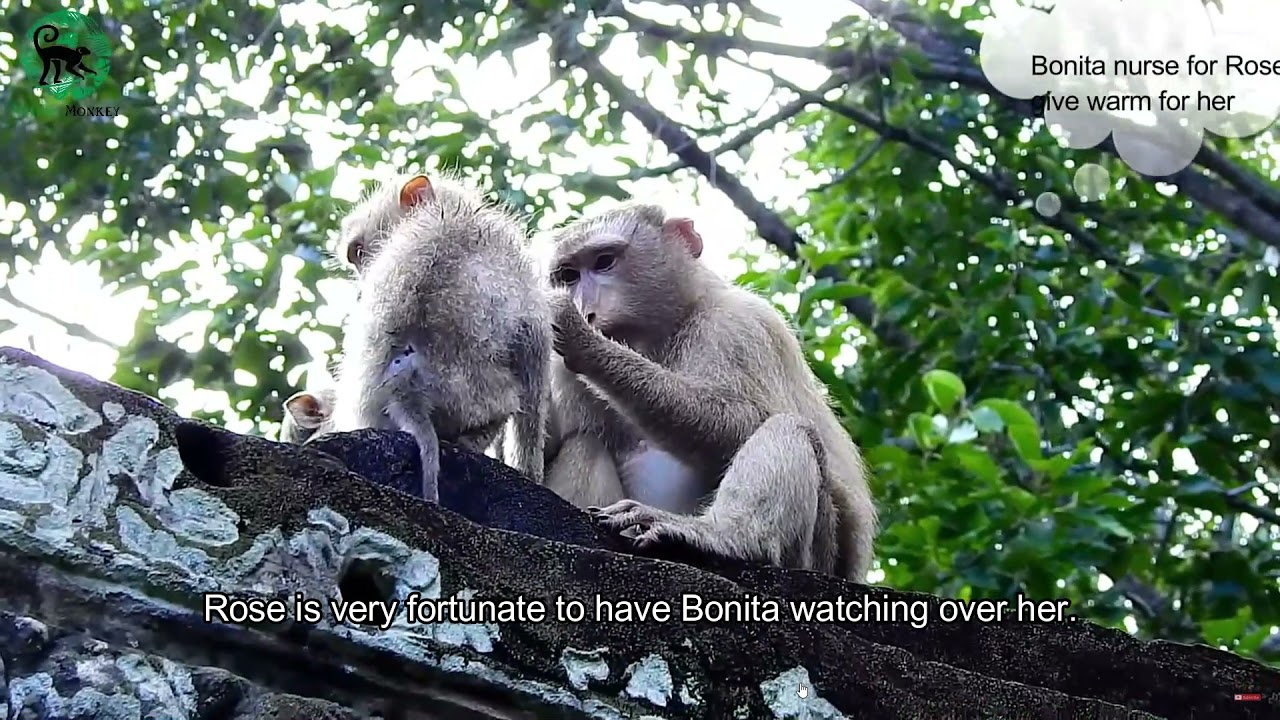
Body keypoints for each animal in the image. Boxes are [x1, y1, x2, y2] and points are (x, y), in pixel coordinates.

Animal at [330, 173, 550, 504]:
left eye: (359, 252)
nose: (360, 284)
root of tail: (404, 384)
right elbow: (535, 352)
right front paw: (531, 473)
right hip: (471, 396)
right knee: (509, 398)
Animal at [542, 203, 877, 581]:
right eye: (569, 275)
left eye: (604, 262)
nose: (587, 309)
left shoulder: (739, 325)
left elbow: (742, 422)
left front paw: (585, 342)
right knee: (584, 444)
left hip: (816, 554)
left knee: (789, 428)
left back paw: (726, 537)